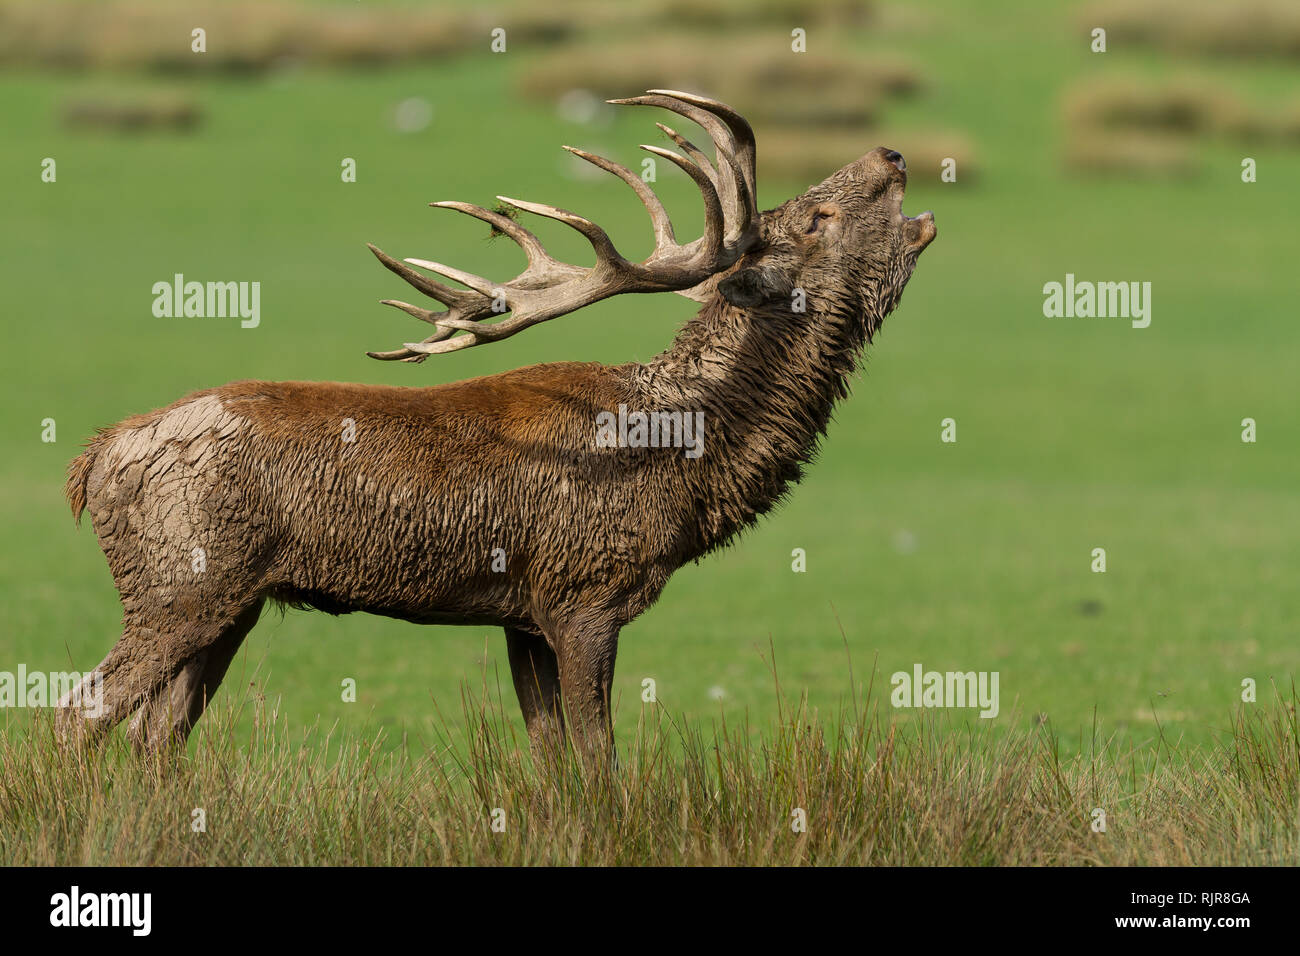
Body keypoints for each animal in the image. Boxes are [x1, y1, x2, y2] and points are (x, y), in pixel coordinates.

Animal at [59, 90, 935, 766]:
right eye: (818, 216)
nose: (892, 152)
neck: (682, 458)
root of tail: (93, 458)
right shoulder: (584, 593)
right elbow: (599, 759)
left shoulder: (522, 613)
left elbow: (551, 760)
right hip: (177, 582)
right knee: (81, 714)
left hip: (230, 600)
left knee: (155, 735)